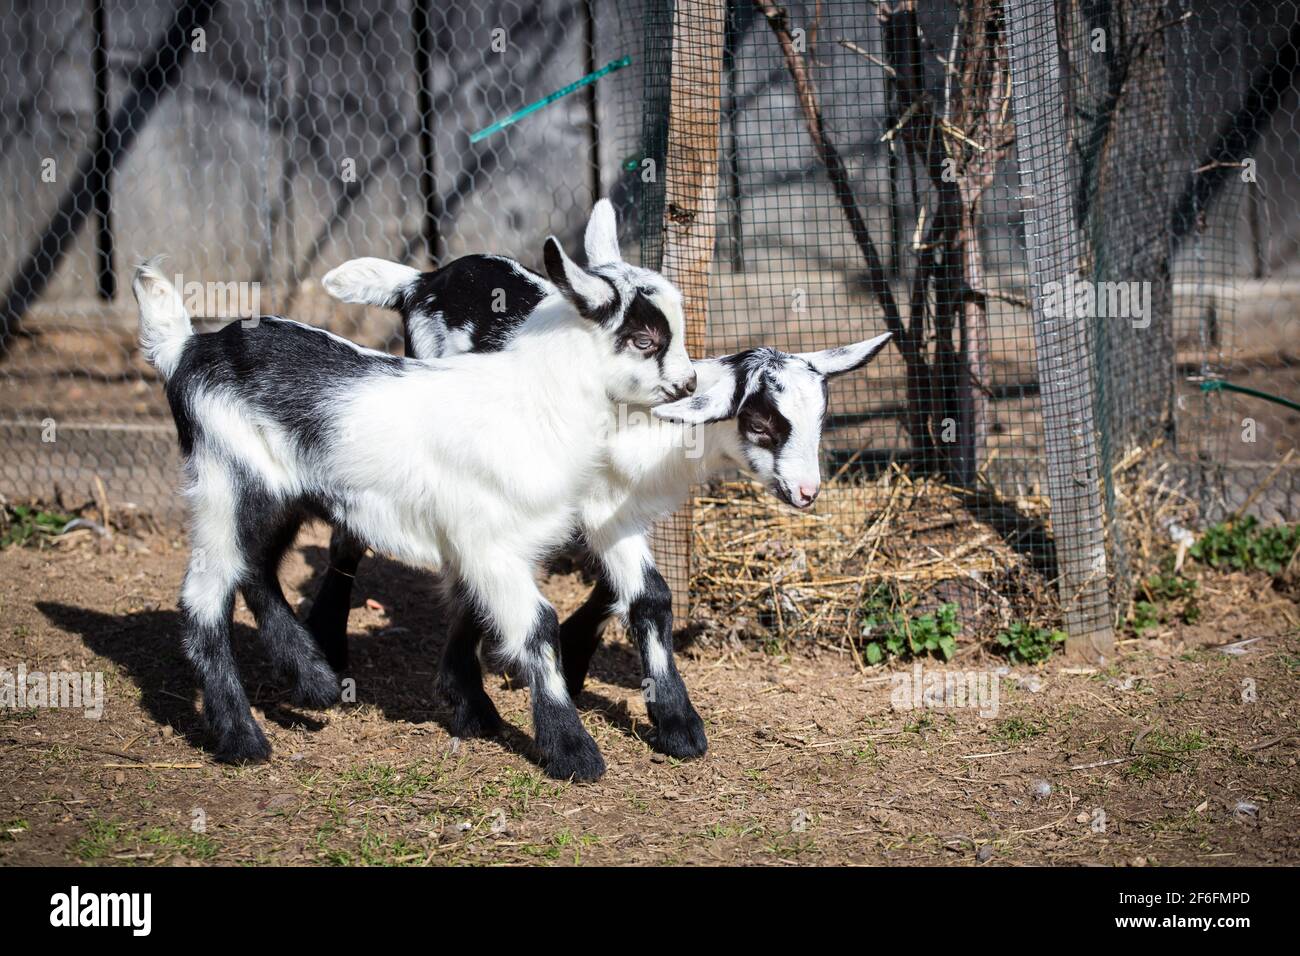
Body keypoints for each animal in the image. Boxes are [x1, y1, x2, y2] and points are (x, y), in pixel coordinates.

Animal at [132, 200, 695, 781]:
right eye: (645, 340)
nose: (689, 384)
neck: (534, 395)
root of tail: (188, 349)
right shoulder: (489, 539)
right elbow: (538, 625)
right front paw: (572, 751)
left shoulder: (531, 529)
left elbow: (635, 595)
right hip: (226, 483)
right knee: (205, 599)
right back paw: (243, 736)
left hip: (279, 494)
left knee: (257, 569)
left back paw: (315, 680)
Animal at [312, 249, 892, 760]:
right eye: (763, 423)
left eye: (820, 420)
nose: (806, 492)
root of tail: (422, 280)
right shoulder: (571, 502)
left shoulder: (620, 512)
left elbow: (642, 594)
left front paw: (644, 705)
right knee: (351, 535)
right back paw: (331, 648)